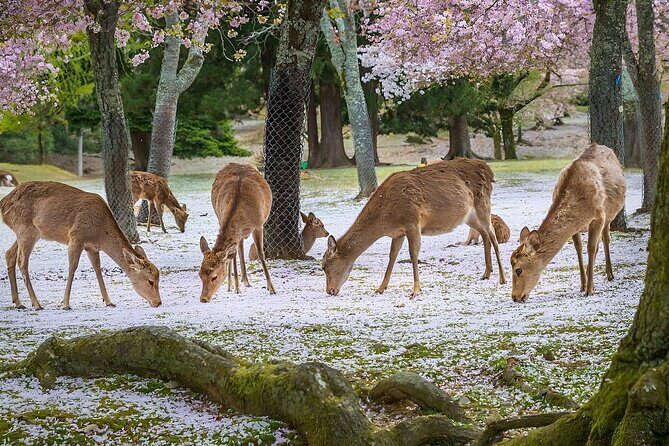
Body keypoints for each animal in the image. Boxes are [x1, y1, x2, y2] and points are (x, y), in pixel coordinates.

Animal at [0, 181, 161, 310]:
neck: (100, 233)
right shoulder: (76, 238)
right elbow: (73, 267)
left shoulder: (92, 247)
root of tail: (3, 204)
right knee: (22, 261)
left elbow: (97, 269)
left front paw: (109, 301)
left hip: (26, 232)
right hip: (25, 229)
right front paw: (65, 304)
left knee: (10, 254)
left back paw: (19, 302)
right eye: (151, 281)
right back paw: (37, 304)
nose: (158, 302)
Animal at [199, 163, 276, 302]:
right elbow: (232, 256)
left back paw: (245, 281)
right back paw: (237, 283)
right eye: (200, 274)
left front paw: (272, 288)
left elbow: (261, 254)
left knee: (239, 248)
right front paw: (236, 288)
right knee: (237, 250)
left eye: (214, 277)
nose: (203, 299)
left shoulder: (259, 225)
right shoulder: (221, 220)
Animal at [322, 158, 506, 298]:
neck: (385, 219)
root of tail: (488, 171)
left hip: (483, 205)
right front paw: (380, 288)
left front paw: (416, 290)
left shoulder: (412, 222)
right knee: (484, 235)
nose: (330, 290)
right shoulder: (398, 233)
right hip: (468, 217)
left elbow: (413, 254)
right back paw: (486, 273)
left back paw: (502, 278)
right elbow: (392, 257)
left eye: (324, 266)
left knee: (493, 236)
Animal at [510, 143, 626, 302]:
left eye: (519, 270)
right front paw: (583, 285)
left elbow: (591, 248)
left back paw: (609, 274)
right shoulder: (575, 227)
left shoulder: (599, 216)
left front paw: (589, 290)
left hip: (609, 215)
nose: (515, 297)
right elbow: (579, 249)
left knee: (605, 239)